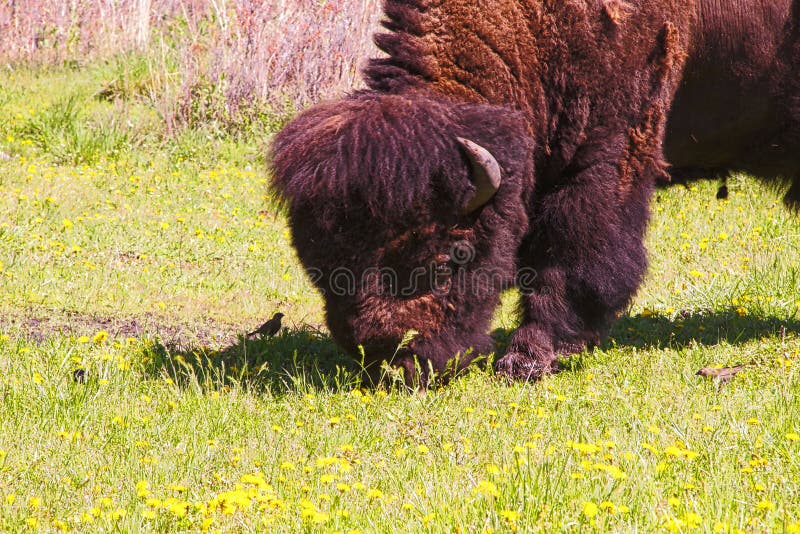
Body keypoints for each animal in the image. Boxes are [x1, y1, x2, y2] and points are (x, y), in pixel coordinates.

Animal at [270, 0, 800, 383]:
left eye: (452, 255)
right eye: (319, 266)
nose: (397, 363)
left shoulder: (607, 153)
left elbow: (573, 253)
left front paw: (526, 360)